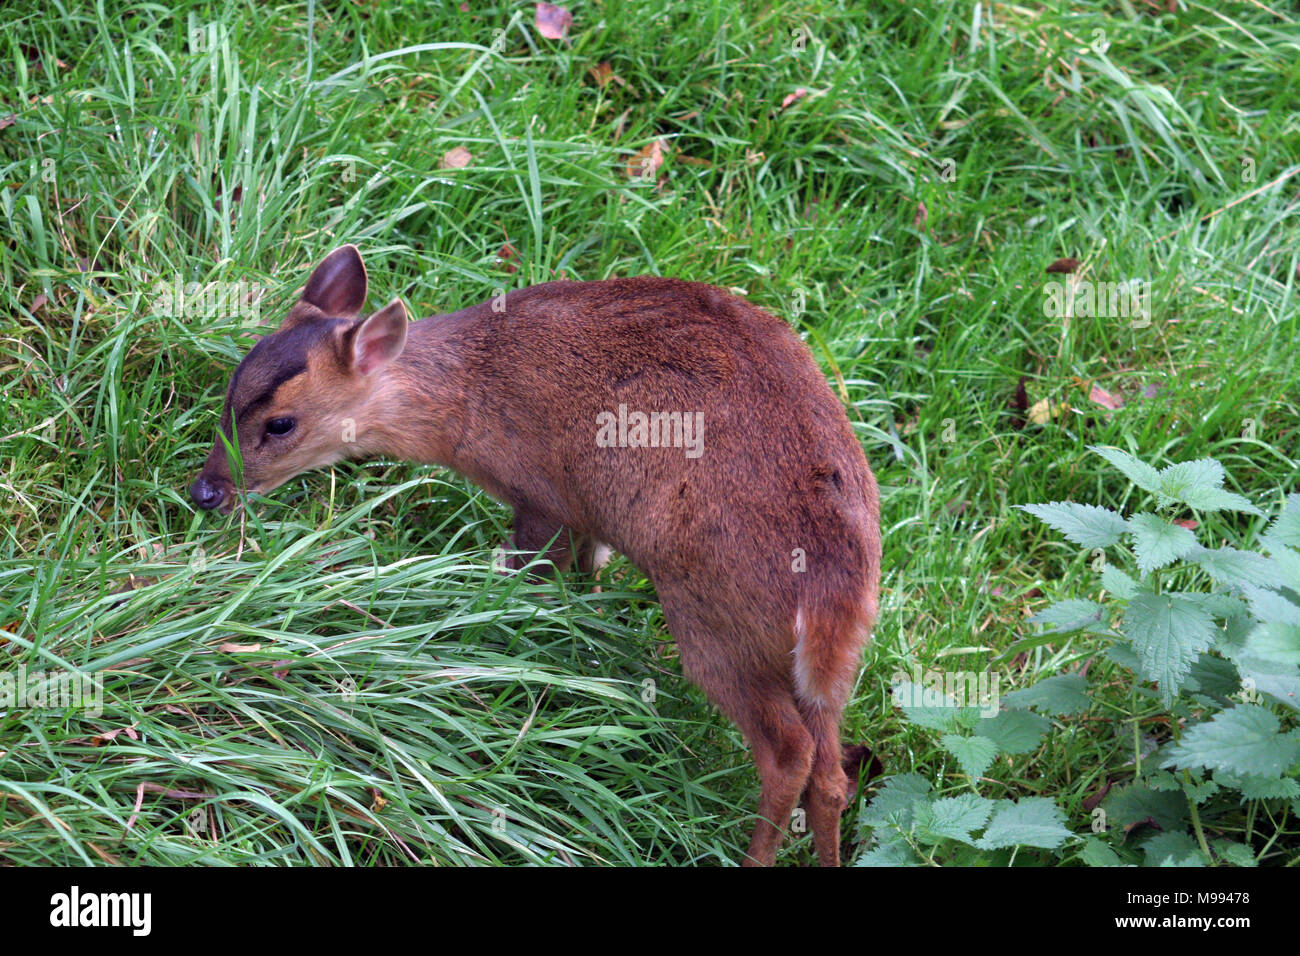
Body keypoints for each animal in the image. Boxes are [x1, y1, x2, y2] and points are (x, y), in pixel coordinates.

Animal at [190, 244, 882, 866]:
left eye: (281, 424)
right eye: (228, 390)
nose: (206, 492)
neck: (468, 398)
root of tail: (834, 585)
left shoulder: (544, 499)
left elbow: (529, 580)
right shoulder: (590, 516)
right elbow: (591, 574)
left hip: (715, 622)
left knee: (788, 752)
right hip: (819, 666)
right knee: (830, 772)